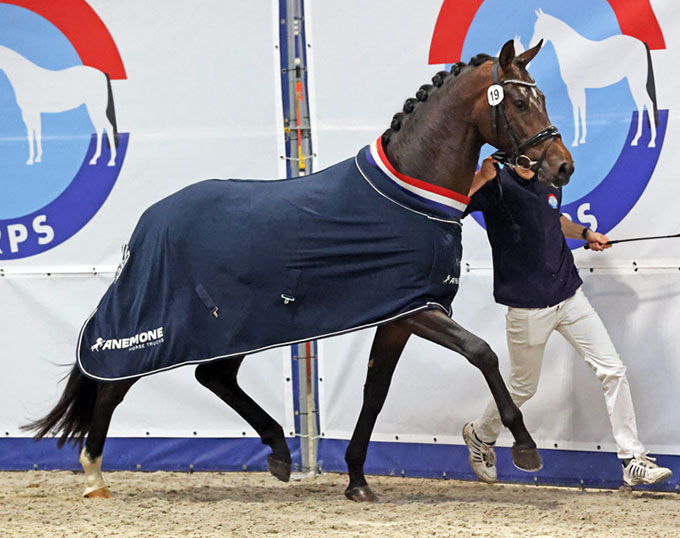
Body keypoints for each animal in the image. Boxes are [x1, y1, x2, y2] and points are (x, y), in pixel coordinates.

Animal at [24, 39, 573, 502]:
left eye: (542, 97)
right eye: (519, 102)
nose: (562, 166)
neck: (411, 194)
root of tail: (146, 224)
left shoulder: (400, 314)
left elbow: (375, 394)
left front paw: (357, 480)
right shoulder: (421, 311)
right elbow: (482, 353)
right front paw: (526, 447)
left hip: (231, 328)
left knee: (212, 376)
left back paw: (280, 453)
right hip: (162, 327)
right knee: (113, 382)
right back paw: (94, 475)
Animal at [528, 8, 657, 148]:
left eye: (539, 26)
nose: (531, 44)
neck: (573, 52)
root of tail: (642, 43)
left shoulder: (574, 87)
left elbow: (577, 110)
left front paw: (576, 140)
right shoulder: (579, 88)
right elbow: (582, 109)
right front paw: (582, 138)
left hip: (636, 82)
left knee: (647, 103)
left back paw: (650, 141)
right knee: (641, 104)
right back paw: (637, 139)